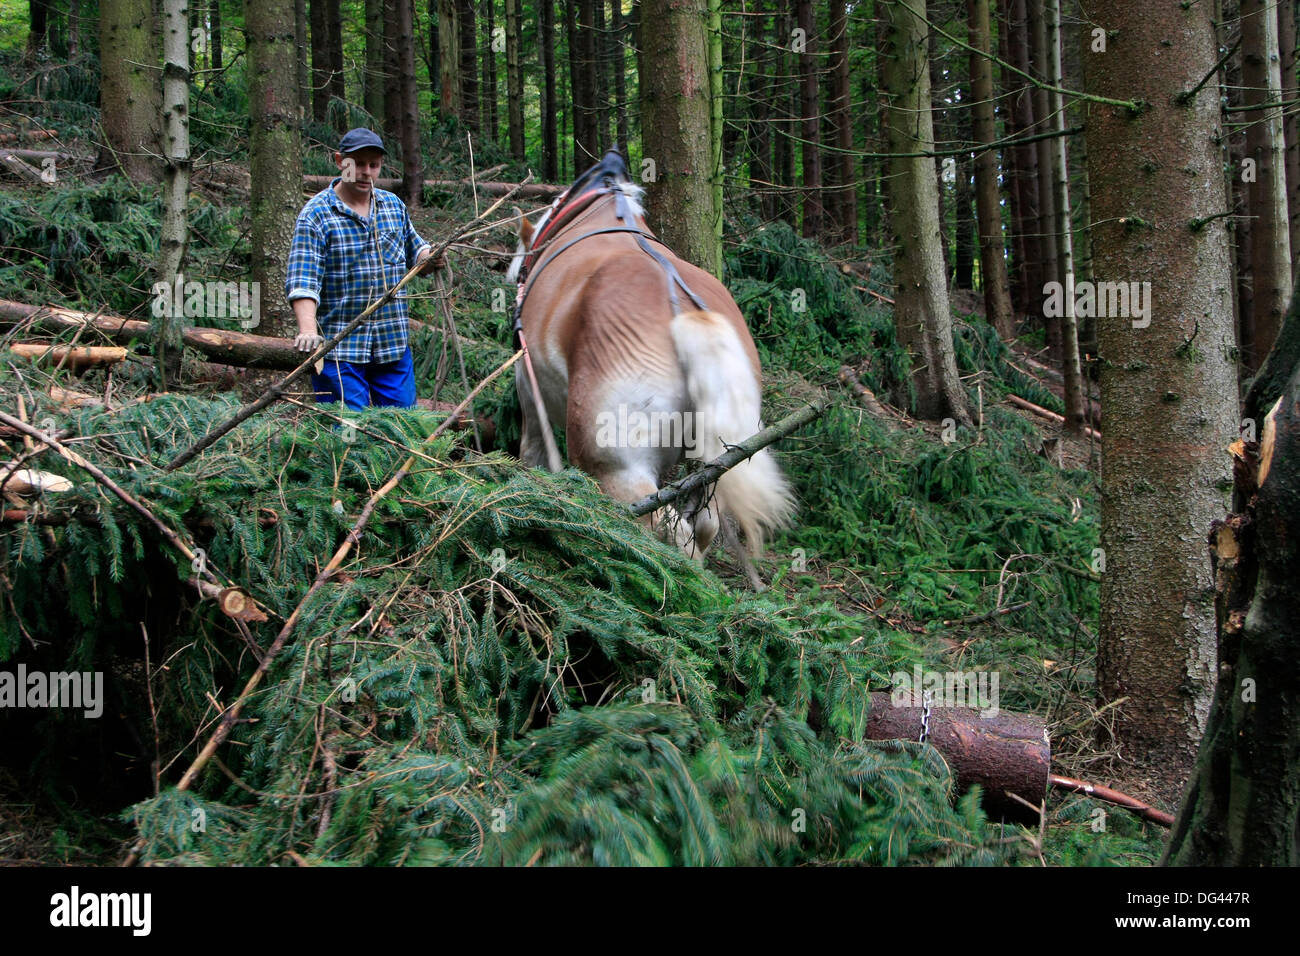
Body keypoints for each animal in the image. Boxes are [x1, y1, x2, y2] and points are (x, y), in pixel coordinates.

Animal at [505, 150, 794, 563]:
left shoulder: (528, 390)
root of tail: (684, 311)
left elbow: (532, 455)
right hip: (719, 461)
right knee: (704, 526)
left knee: (661, 530)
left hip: (617, 468)